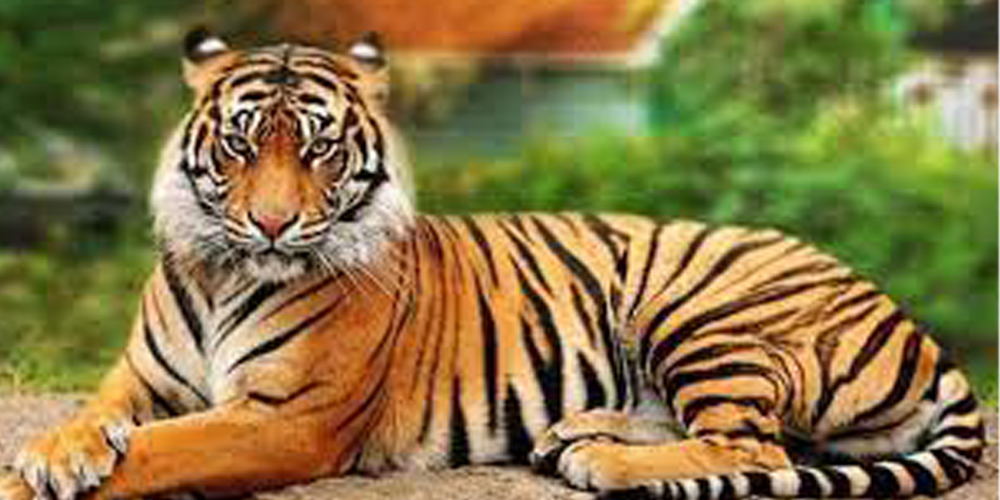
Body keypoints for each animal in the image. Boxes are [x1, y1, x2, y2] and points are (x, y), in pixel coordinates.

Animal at [0, 28, 985, 500]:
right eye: (242, 144)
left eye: (318, 148)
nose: (272, 226)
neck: (221, 270)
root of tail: (911, 322)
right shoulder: (139, 380)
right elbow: (98, 421)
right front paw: (54, 454)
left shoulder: (286, 418)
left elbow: (159, 452)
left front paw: (29, 479)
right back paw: (575, 435)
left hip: (700, 305)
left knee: (750, 441)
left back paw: (601, 465)